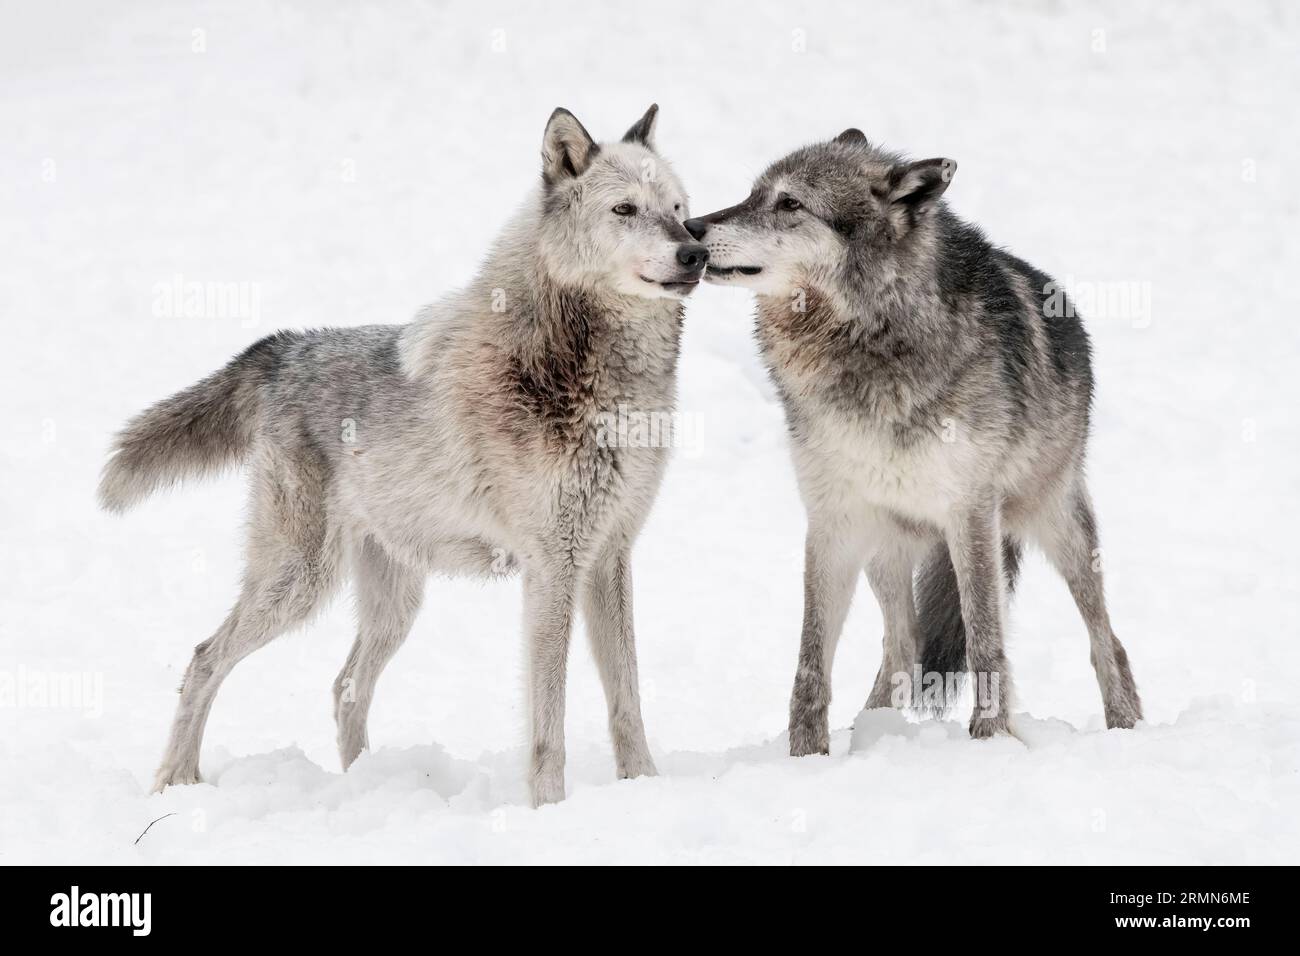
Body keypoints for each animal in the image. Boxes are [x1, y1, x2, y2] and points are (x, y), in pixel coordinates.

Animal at [99, 105, 707, 806]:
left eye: (680, 209)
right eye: (625, 210)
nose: (696, 250)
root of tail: (282, 349)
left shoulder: (609, 556)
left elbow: (627, 699)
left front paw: (645, 788)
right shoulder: (553, 567)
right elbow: (549, 722)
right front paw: (549, 808)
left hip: (395, 602)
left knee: (344, 686)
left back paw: (367, 785)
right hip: (299, 585)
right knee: (205, 658)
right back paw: (175, 781)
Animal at [685, 129, 1141, 752]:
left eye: (790, 203)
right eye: (752, 194)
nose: (689, 227)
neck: (865, 337)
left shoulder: (970, 513)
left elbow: (985, 641)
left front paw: (989, 740)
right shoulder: (833, 521)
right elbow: (810, 660)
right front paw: (807, 755)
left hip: (1055, 526)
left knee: (1105, 639)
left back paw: (1125, 728)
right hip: (887, 547)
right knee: (905, 644)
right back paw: (870, 734)